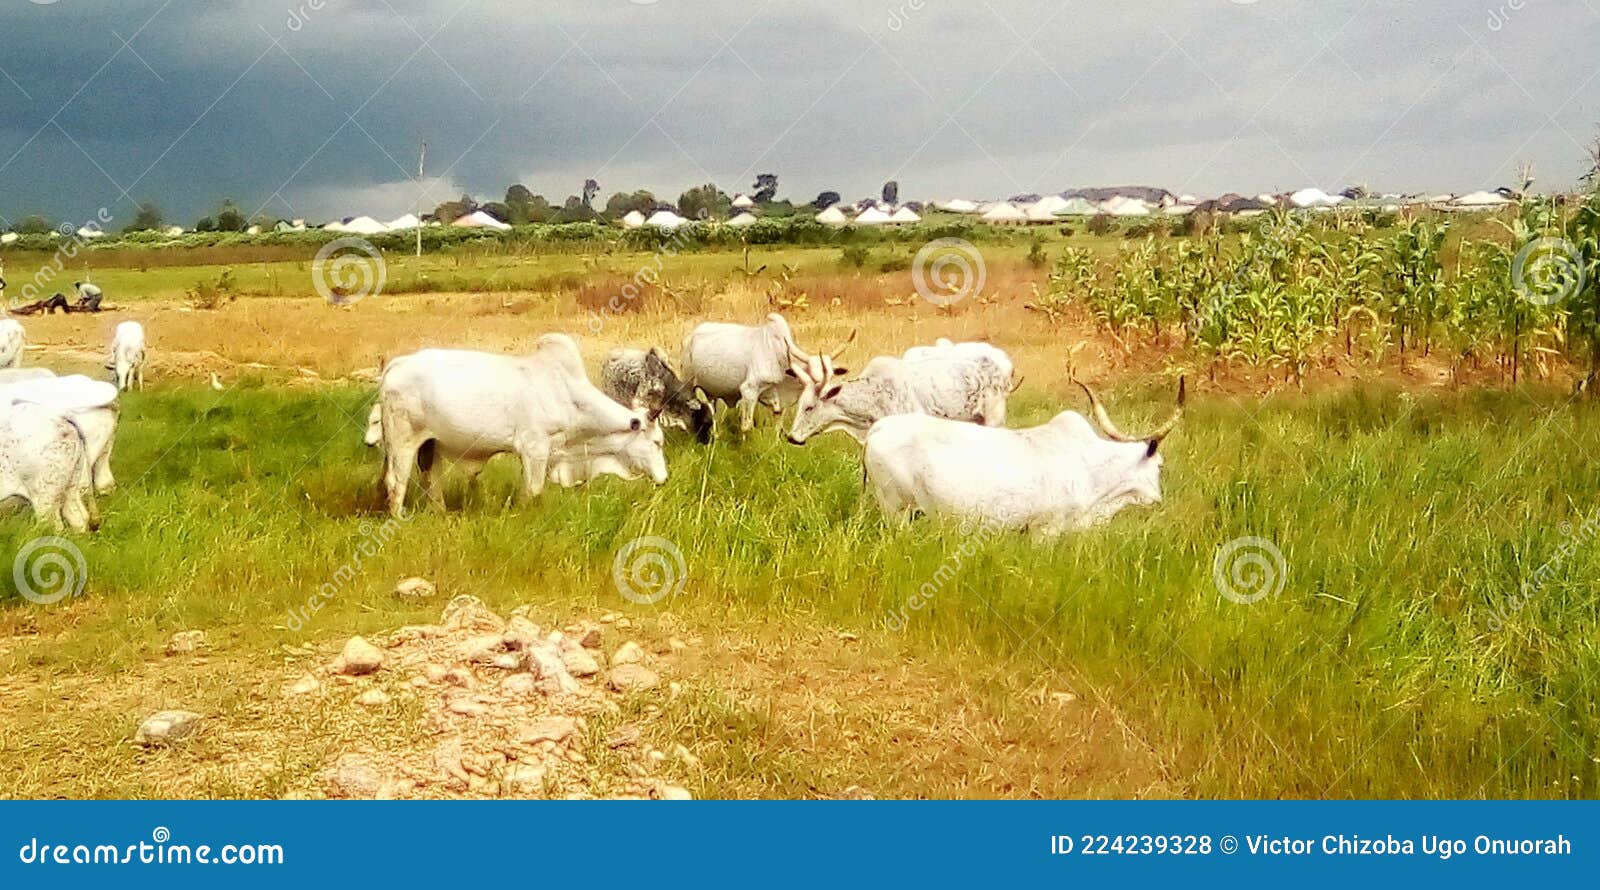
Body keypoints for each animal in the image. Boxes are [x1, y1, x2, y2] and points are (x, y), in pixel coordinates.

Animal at [370, 335, 668, 516]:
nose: (664, 479)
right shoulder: (535, 449)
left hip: (429, 444)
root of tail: (398, 364)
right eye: (657, 442)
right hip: (402, 440)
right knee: (396, 482)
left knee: (430, 479)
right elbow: (533, 491)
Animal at [680, 313, 853, 432]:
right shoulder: (748, 391)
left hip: (712, 393)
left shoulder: (779, 404)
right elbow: (746, 426)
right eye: (812, 376)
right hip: (687, 383)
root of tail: (689, 337)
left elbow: (778, 427)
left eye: (832, 374)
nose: (828, 395)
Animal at [864, 377, 1185, 536]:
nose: (1159, 501)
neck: (1091, 468)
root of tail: (879, 428)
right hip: (897, 509)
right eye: (1160, 466)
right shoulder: (1045, 531)